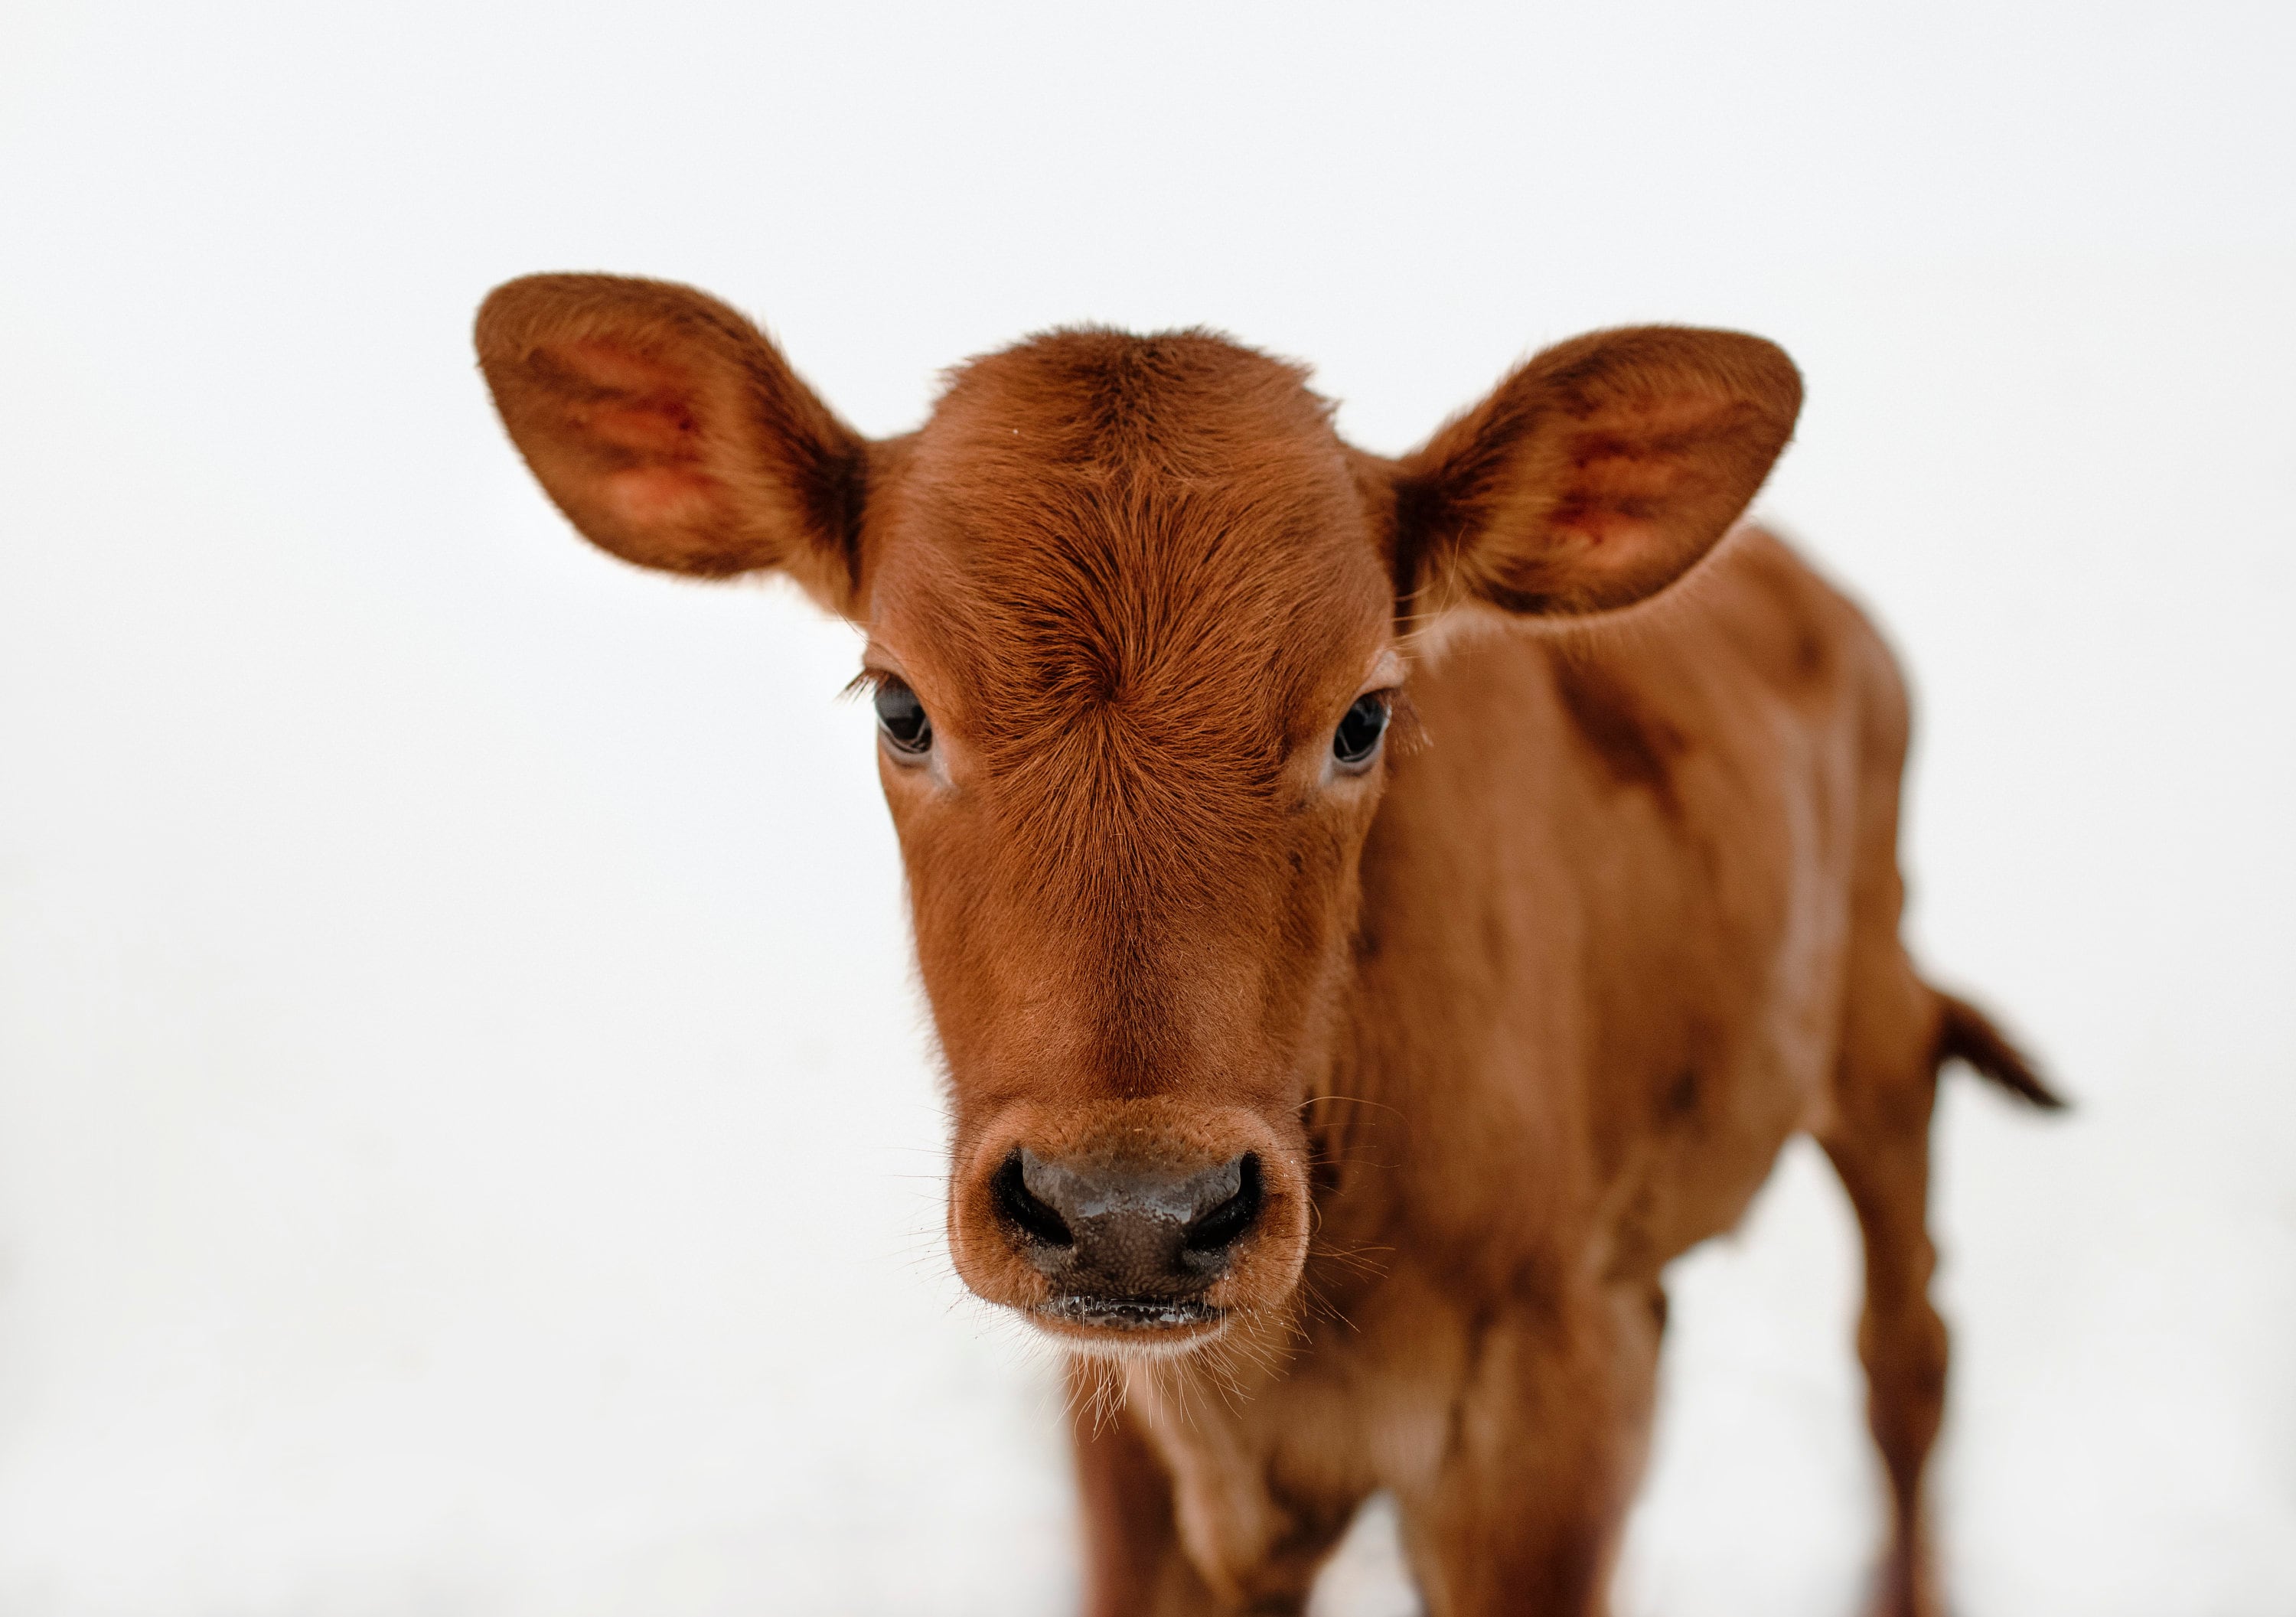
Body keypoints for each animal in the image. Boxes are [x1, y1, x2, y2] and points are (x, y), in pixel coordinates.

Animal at [475, 273, 2062, 1617]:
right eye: (900, 705)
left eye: (1363, 716)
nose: (1132, 1208)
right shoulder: (1128, 1446)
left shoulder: (1542, 1425)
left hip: (1873, 1017)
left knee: (1907, 1351)